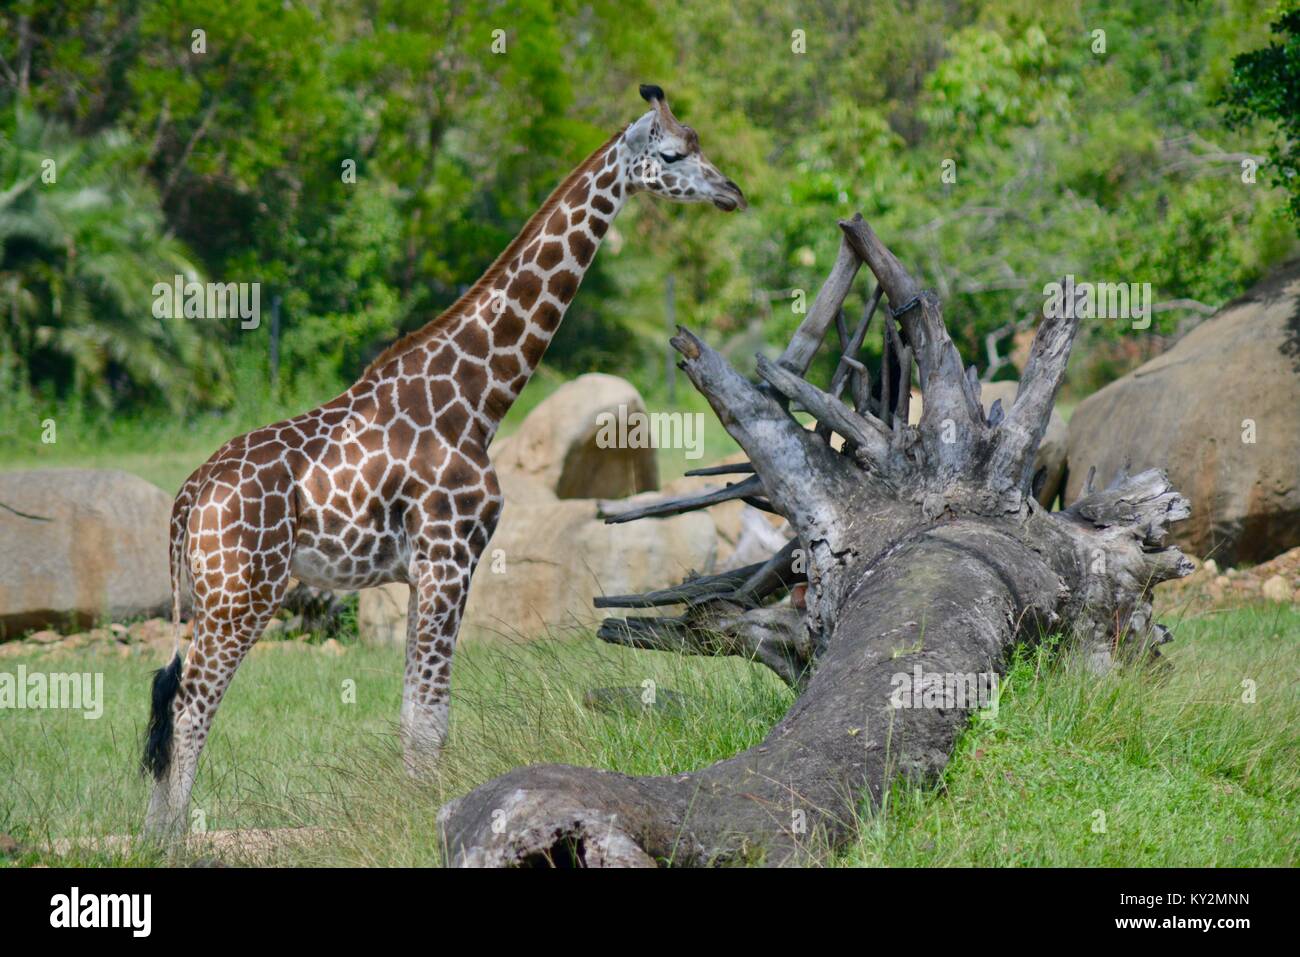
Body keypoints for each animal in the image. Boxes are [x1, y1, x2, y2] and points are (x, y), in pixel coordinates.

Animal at [141, 84, 746, 837]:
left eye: (698, 144)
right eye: (671, 155)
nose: (732, 192)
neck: (477, 397)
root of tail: (190, 493)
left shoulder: (418, 571)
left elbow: (415, 712)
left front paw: (411, 809)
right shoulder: (449, 556)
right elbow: (431, 715)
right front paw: (420, 815)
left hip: (212, 593)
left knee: (165, 696)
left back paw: (148, 832)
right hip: (243, 592)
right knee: (191, 702)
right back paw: (171, 835)